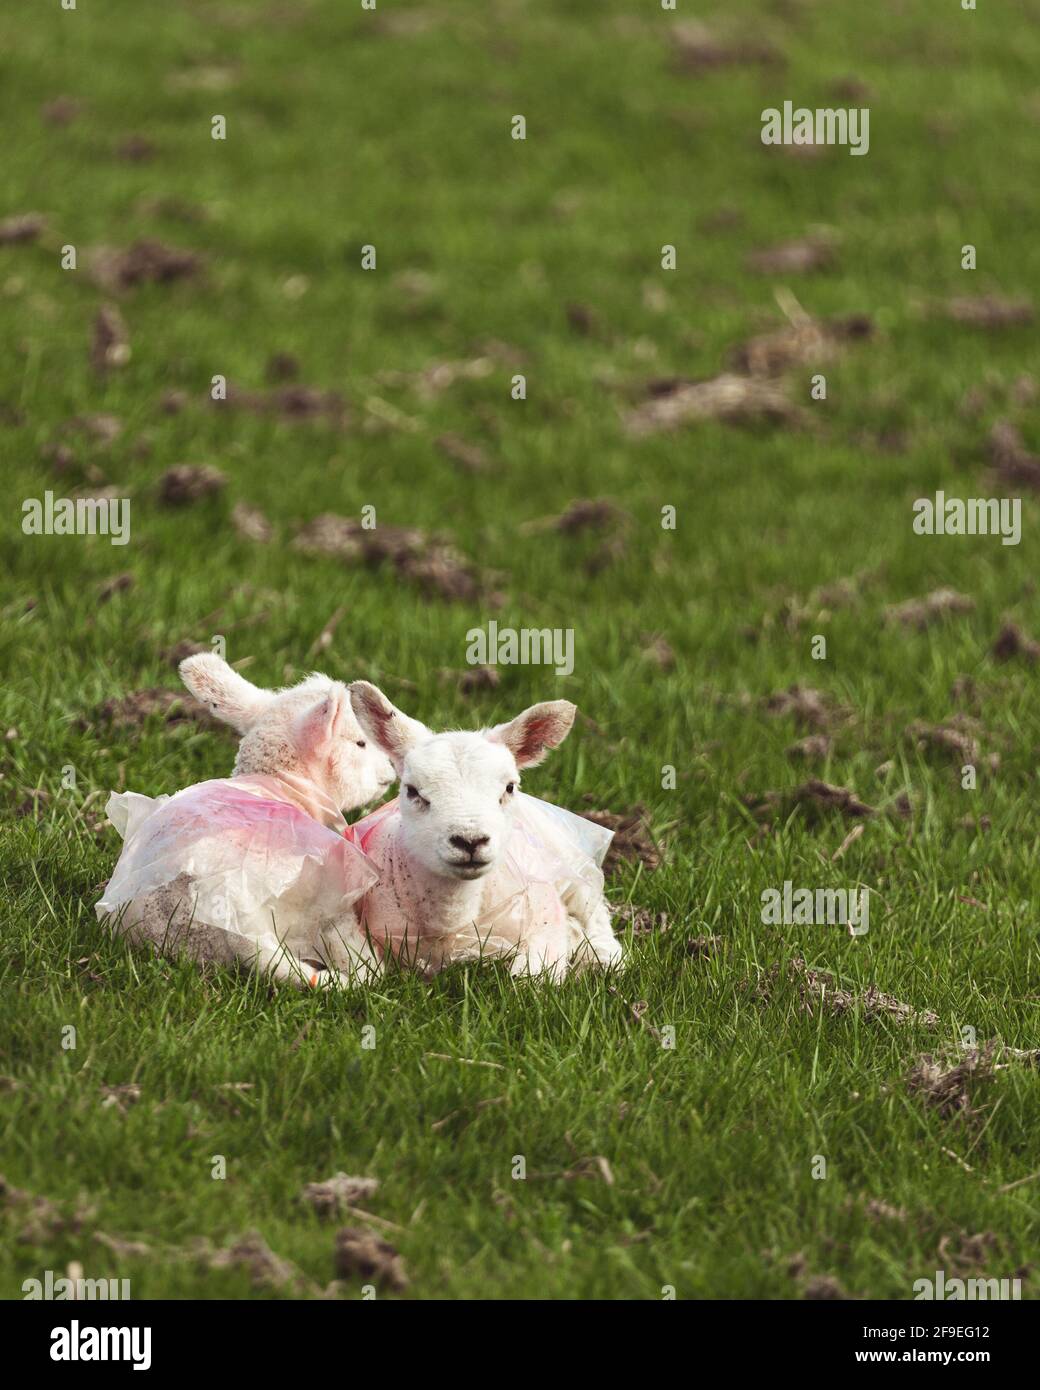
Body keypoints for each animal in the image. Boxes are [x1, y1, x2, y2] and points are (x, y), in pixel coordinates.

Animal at [347, 681, 624, 980]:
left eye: (510, 787)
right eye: (412, 791)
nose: (470, 841)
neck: (452, 924)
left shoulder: (545, 910)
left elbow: (532, 977)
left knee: (594, 911)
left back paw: (605, 956)